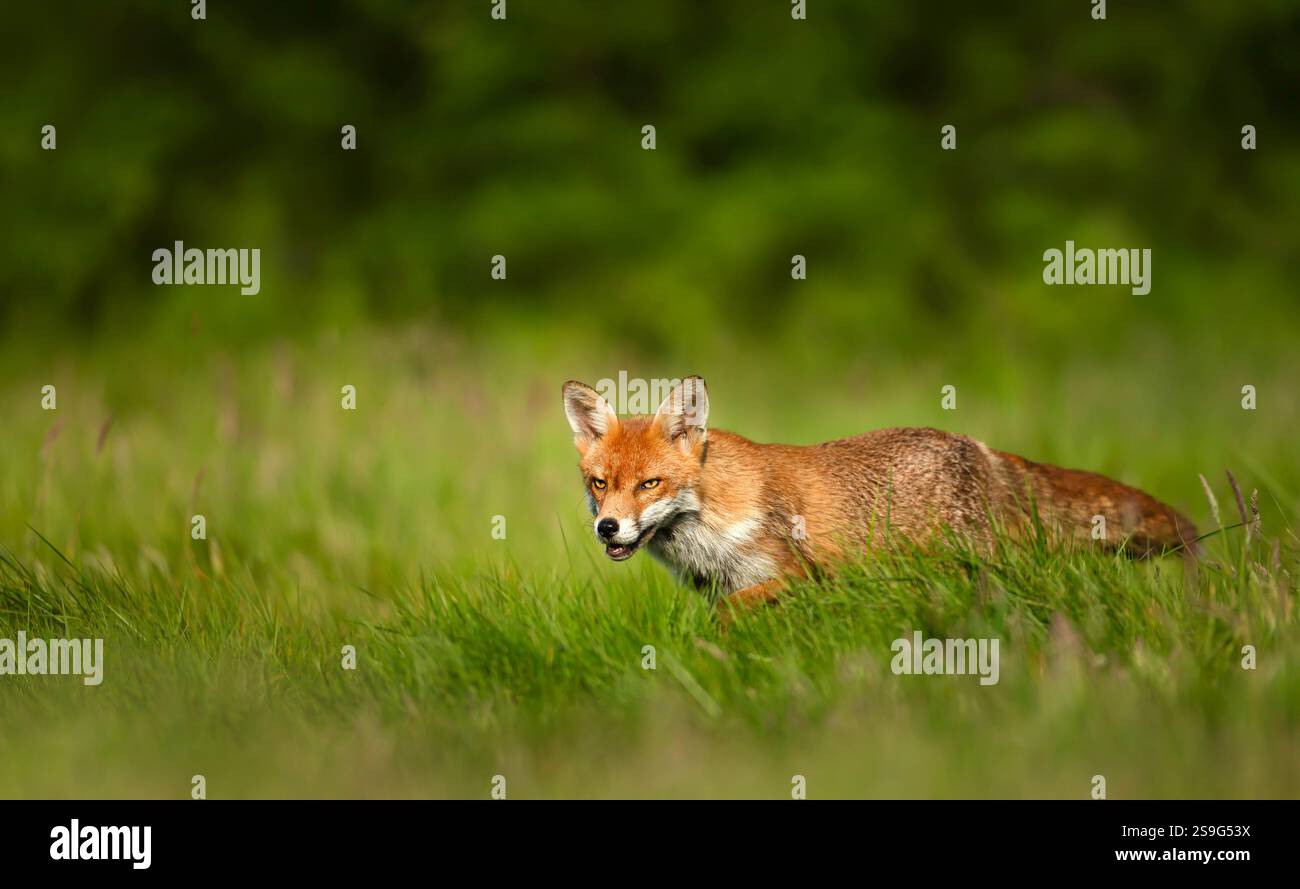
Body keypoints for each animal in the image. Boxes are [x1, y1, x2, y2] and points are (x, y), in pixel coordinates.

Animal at [562, 376, 1199, 619]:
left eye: (650, 484)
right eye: (601, 484)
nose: (607, 528)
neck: (709, 521)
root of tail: (980, 446)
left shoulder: (796, 573)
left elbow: (728, 616)